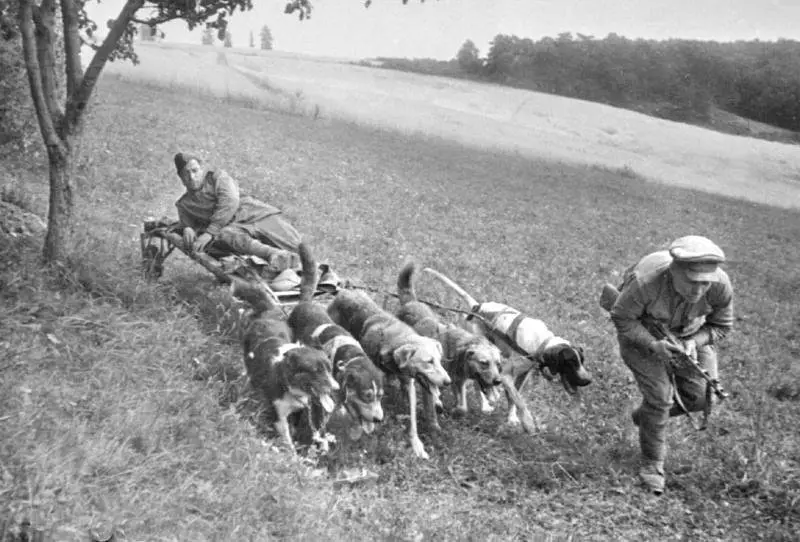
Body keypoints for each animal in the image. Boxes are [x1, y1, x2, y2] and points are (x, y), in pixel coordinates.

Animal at [234, 276, 340, 454]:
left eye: (329, 369)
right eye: (315, 371)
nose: (336, 388)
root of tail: (270, 310)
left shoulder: (301, 408)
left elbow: (296, 430)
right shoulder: (279, 415)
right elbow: (287, 440)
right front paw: (292, 456)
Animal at [324, 288, 450, 460]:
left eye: (439, 360)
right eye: (429, 361)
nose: (448, 382)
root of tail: (346, 291)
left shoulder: (409, 383)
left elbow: (413, 419)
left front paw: (417, 445)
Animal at [396, 264, 504, 420]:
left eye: (498, 364)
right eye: (484, 363)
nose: (498, 381)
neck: (457, 351)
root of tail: (411, 302)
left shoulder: (458, 381)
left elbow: (462, 405)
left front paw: (455, 409)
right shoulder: (446, 378)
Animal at [424, 268, 588, 430]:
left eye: (581, 361)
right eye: (570, 362)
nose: (588, 380)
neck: (541, 342)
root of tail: (476, 307)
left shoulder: (522, 375)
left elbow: (514, 398)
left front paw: (512, 418)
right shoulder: (505, 375)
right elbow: (518, 399)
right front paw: (527, 422)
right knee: (479, 382)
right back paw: (485, 404)